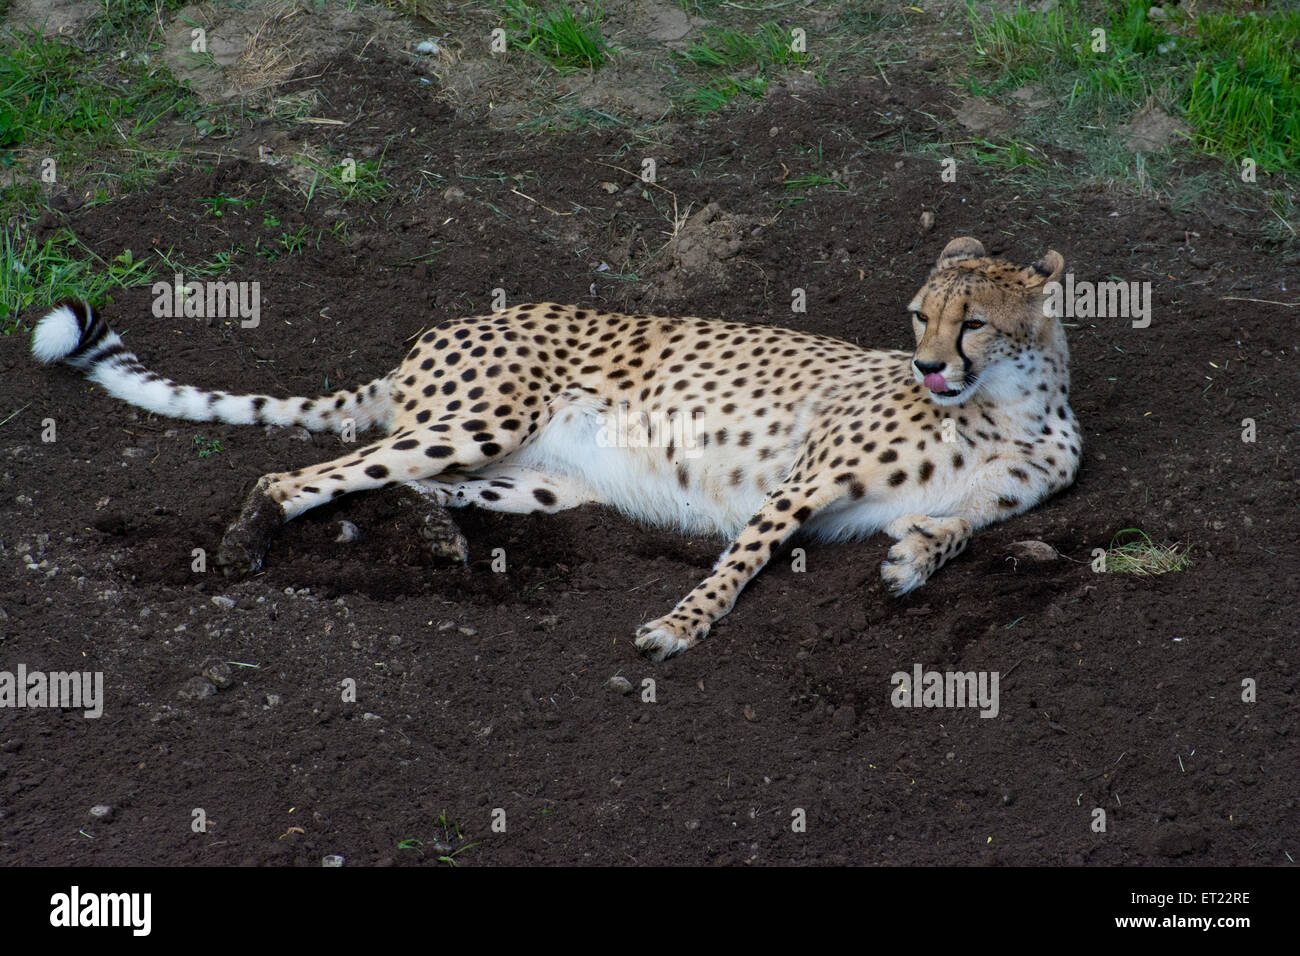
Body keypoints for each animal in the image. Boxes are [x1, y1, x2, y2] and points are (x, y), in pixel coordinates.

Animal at [31, 236, 1081, 660]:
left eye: (971, 323)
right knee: (296, 473)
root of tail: (433, 333)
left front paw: (912, 557)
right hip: (478, 423)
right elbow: (739, 559)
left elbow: (958, 526)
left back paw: (441, 541)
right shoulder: (797, 482)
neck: (1006, 405)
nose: (928, 366)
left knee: (408, 488)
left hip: (542, 483)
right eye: (918, 315)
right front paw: (680, 628)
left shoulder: (989, 497)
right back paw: (249, 540)